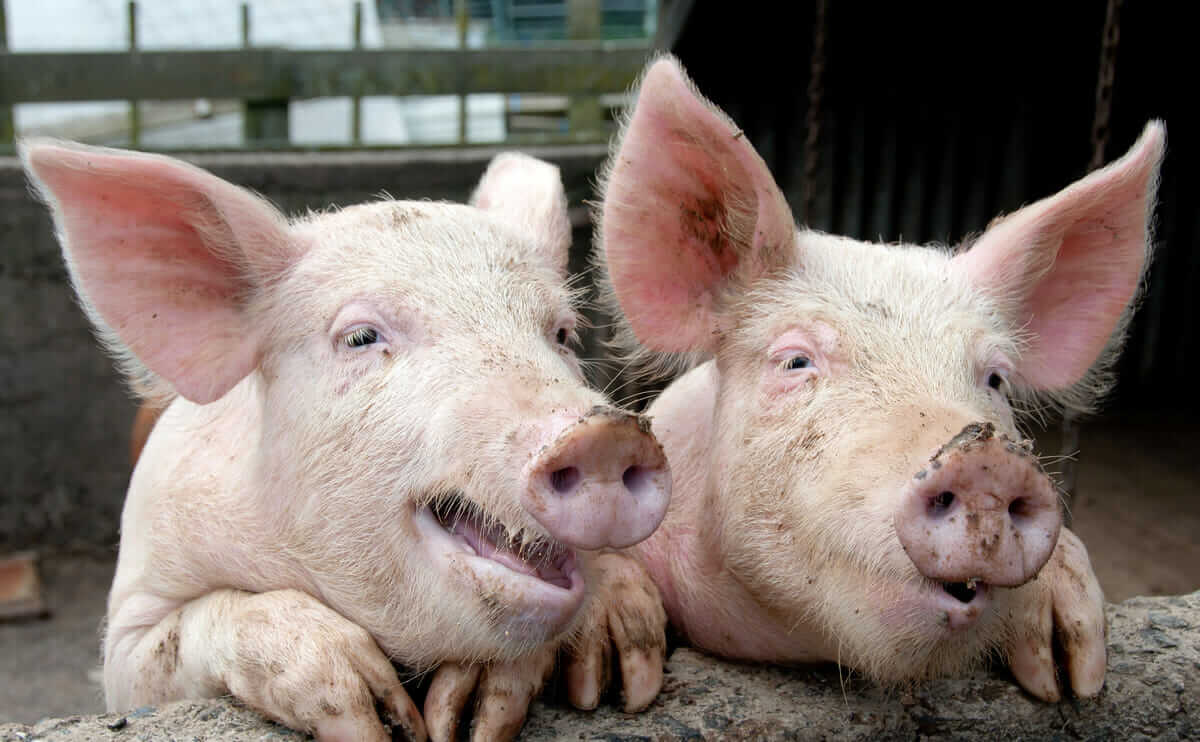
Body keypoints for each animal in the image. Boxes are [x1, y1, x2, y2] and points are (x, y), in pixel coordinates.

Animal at [21, 140, 673, 741]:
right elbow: (175, 640)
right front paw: (377, 721)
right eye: (360, 336)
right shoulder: (130, 625)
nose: (607, 435)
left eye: (562, 334)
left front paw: (487, 713)